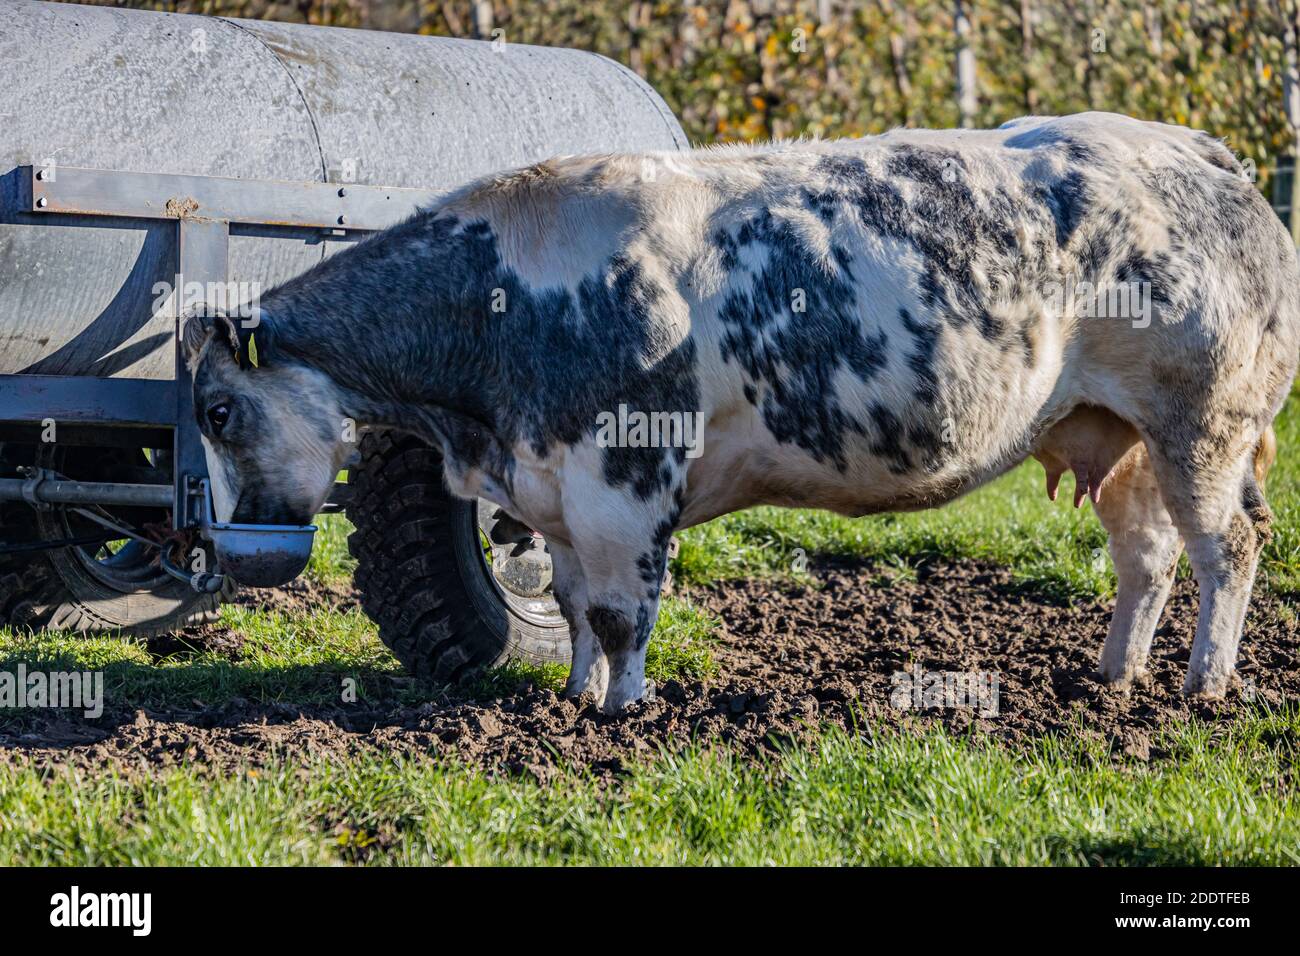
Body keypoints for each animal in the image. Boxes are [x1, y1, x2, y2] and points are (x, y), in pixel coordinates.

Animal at [182, 112, 1300, 713]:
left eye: (221, 413)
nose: (232, 549)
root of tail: (1200, 151)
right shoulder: (556, 491)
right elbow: (576, 604)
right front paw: (576, 696)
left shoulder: (626, 474)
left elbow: (623, 609)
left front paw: (623, 708)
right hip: (1117, 430)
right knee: (1148, 554)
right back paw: (1110, 677)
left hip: (1206, 420)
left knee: (1229, 549)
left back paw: (1202, 685)